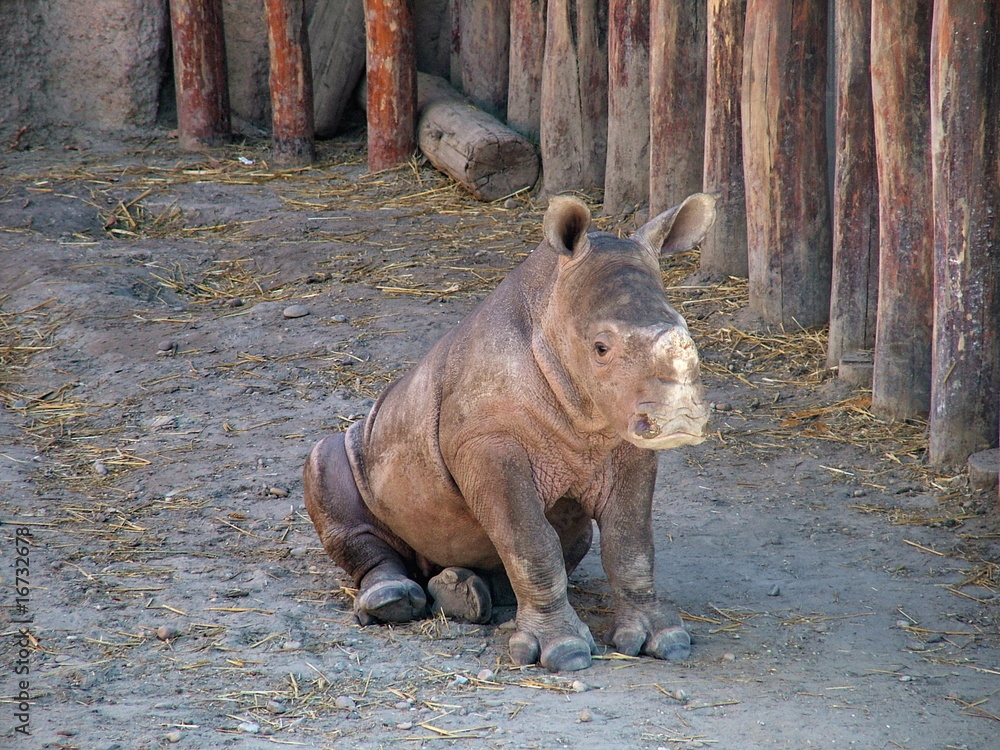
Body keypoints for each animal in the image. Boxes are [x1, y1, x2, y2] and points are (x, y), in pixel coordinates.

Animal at [304, 193, 716, 672]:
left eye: (687, 332)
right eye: (600, 348)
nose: (680, 420)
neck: (550, 313)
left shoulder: (627, 442)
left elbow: (629, 542)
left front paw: (663, 640)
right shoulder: (488, 445)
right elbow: (530, 542)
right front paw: (564, 653)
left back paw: (465, 595)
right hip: (364, 442)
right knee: (326, 465)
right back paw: (393, 600)